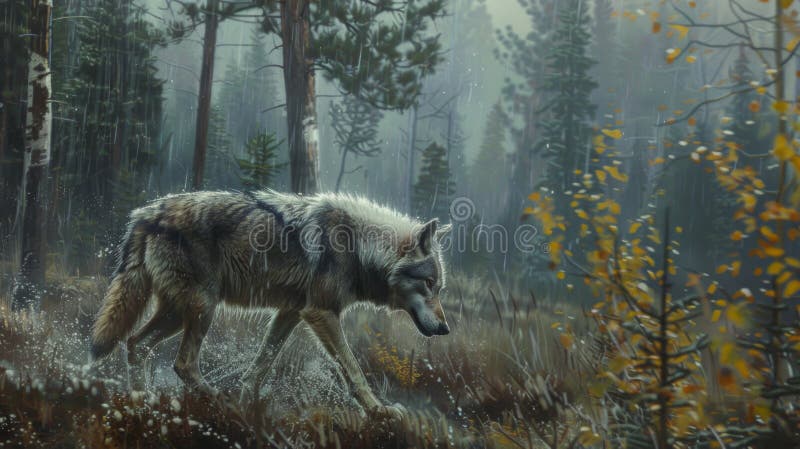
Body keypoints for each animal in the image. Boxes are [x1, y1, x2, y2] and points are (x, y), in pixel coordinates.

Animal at [90, 190, 451, 417]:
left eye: (439, 288)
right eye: (428, 284)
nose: (446, 329)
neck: (358, 245)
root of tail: (147, 213)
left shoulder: (290, 313)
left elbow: (260, 366)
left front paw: (247, 407)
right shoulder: (321, 313)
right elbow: (353, 370)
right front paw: (379, 411)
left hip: (179, 311)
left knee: (136, 344)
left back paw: (143, 402)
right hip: (201, 309)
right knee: (182, 363)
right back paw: (213, 400)